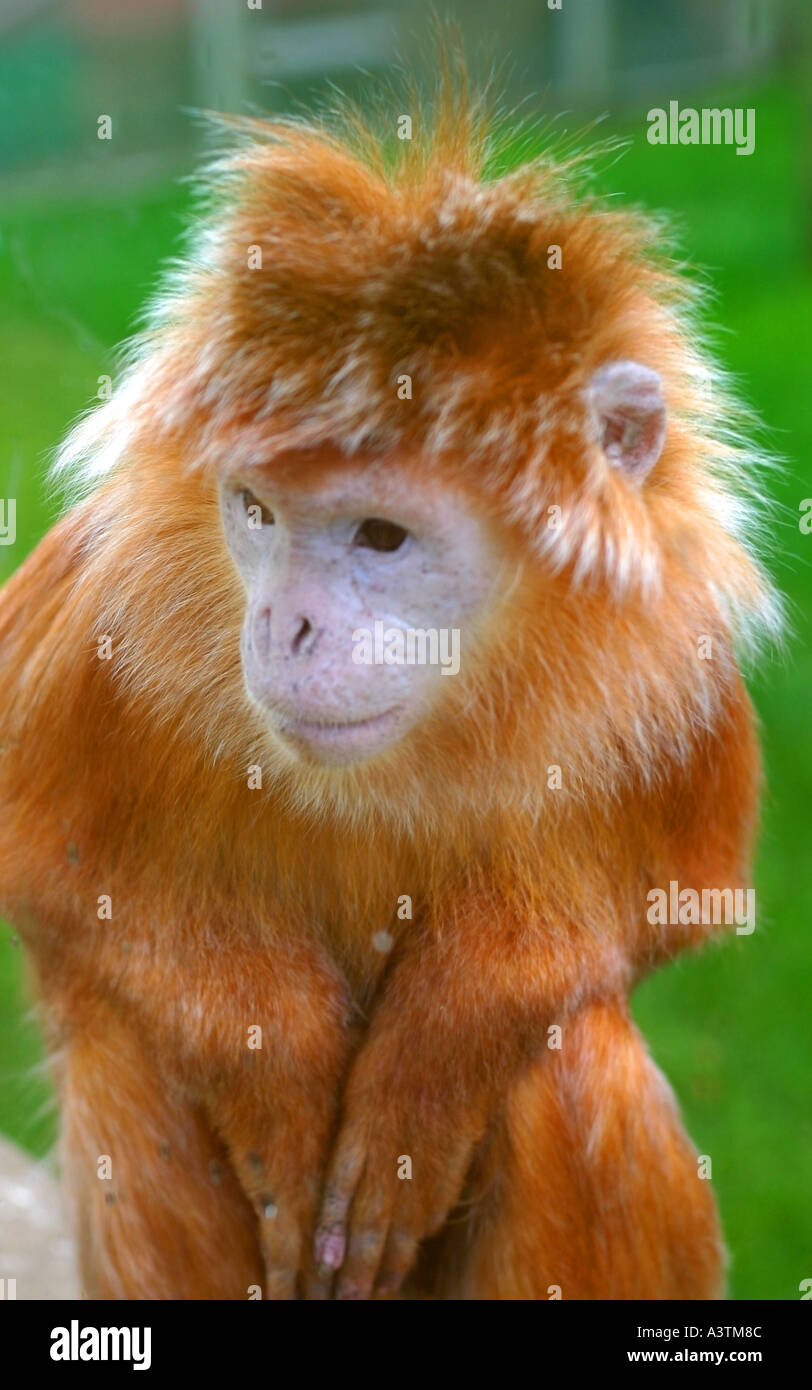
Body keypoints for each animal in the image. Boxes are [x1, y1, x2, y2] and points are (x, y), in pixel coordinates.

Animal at [0, 70, 779, 1300]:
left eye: (379, 535)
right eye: (256, 511)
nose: (283, 622)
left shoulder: (672, 649)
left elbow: (676, 893)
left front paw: (433, 1057)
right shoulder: (93, 616)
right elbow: (46, 869)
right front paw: (272, 1060)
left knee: (572, 1065)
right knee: (134, 1058)